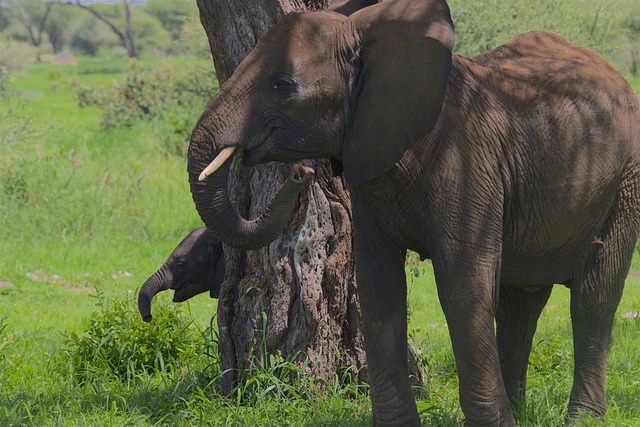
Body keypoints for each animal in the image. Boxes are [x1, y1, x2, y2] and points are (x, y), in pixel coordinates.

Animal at [186, 0, 640, 425]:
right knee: (520, 303)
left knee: (594, 296)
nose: (302, 173)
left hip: (625, 182)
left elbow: (463, 288)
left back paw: (582, 418)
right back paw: (520, 410)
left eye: (282, 86)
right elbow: (379, 289)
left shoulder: (467, 166)